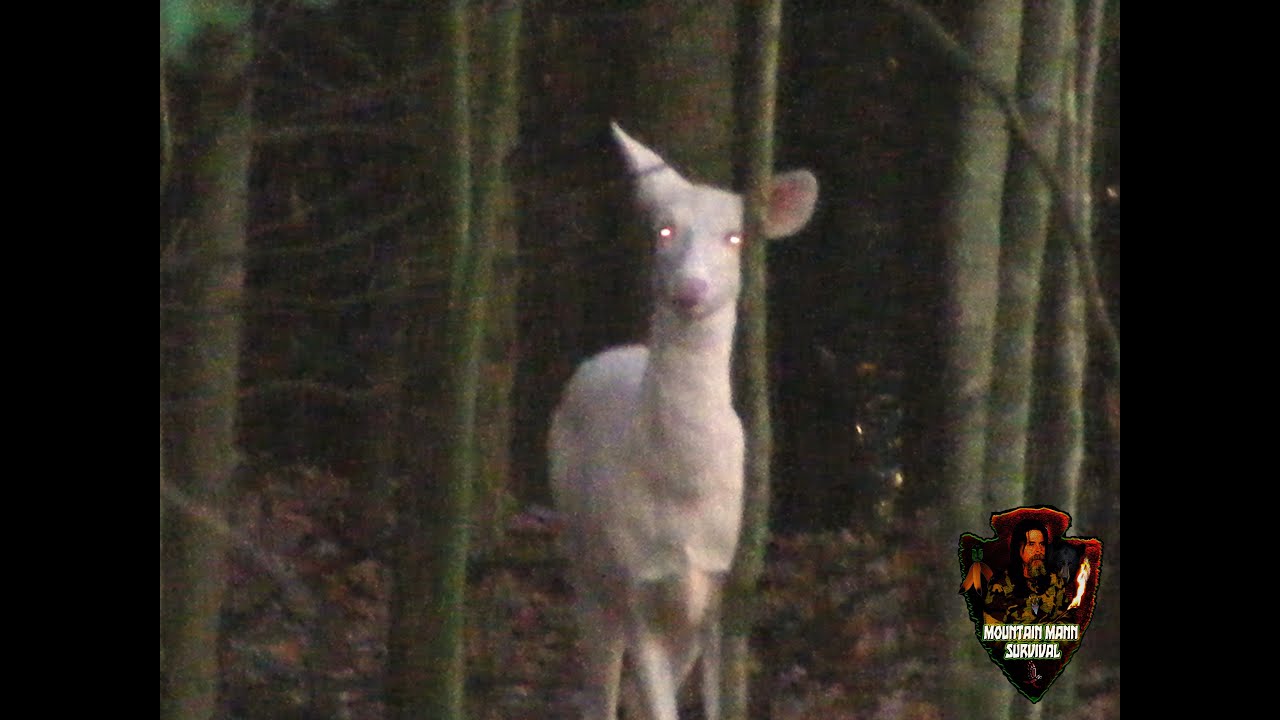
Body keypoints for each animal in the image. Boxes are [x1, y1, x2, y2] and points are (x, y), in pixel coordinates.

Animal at [548, 123, 818, 720]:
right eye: (663, 229)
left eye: (736, 238)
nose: (690, 290)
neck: (685, 493)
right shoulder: (635, 585)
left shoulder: (728, 589)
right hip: (586, 562)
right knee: (599, 686)